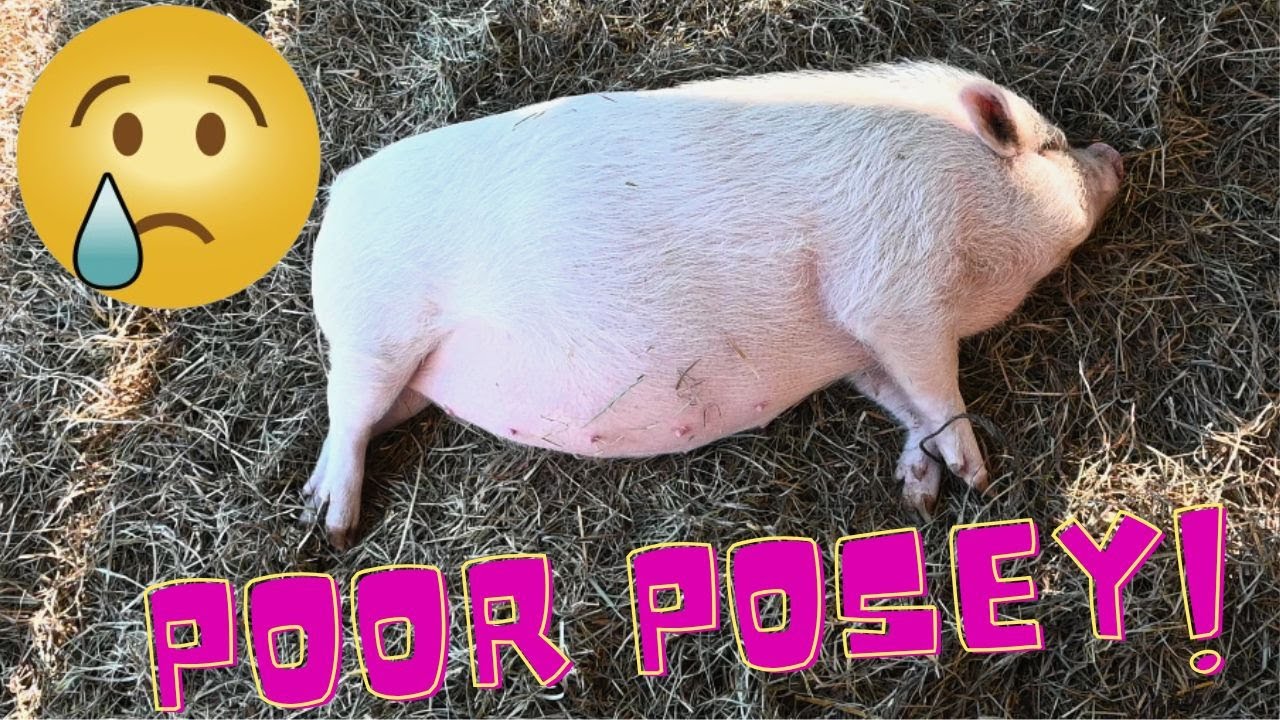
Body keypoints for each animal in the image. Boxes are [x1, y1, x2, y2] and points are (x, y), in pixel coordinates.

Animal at [303, 61, 1124, 548]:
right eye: (1051, 146)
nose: (1115, 153)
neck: (961, 191)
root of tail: (339, 194)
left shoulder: (861, 348)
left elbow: (902, 399)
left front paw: (917, 500)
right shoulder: (893, 296)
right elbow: (937, 385)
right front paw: (978, 477)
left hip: (410, 375)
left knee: (368, 416)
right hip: (374, 331)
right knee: (345, 414)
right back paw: (333, 528)